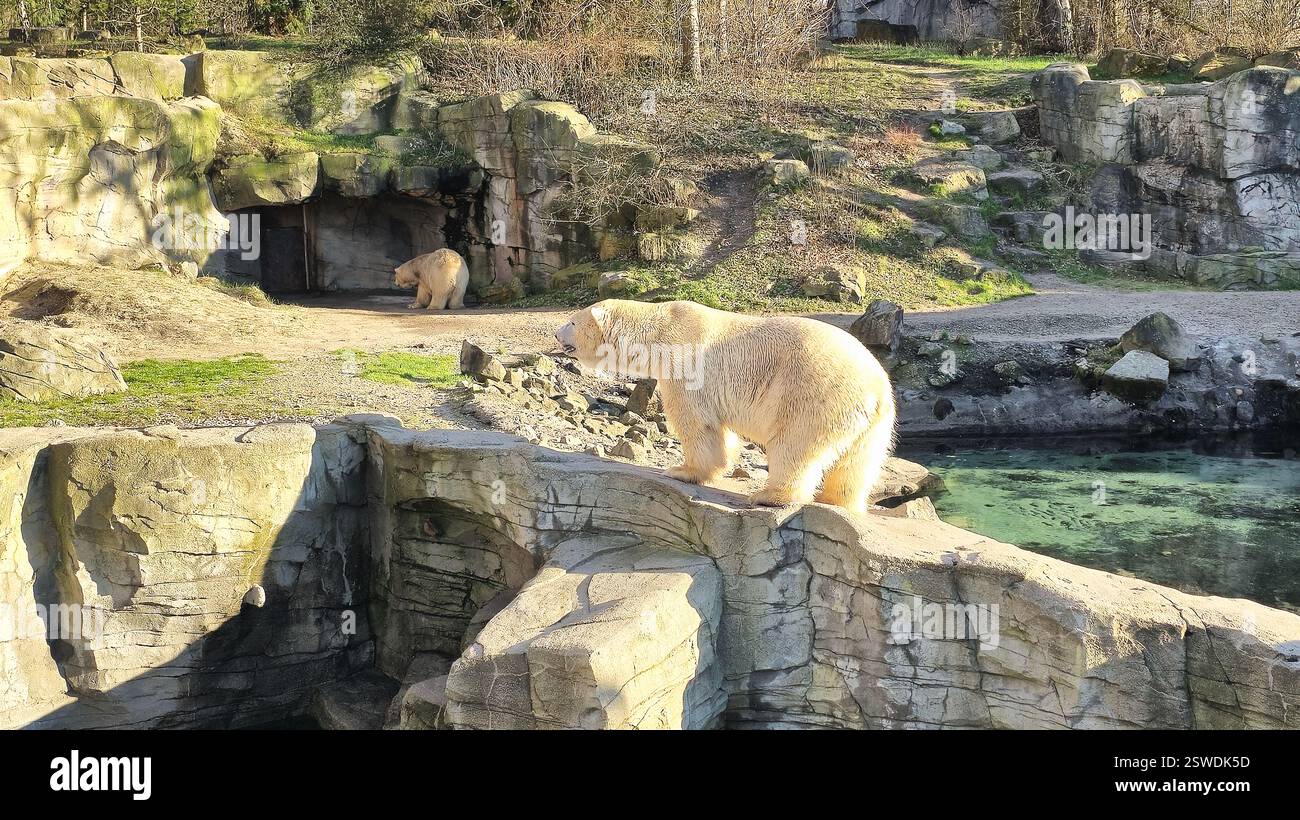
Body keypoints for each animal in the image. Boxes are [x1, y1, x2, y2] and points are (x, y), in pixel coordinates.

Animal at [555, 299, 896, 516]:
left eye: (572, 321)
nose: (557, 334)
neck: (657, 333)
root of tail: (876, 389)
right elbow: (722, 428)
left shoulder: (684, 364)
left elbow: (696, 423)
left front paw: (682, 471)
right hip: (875, 424)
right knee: (858, 463)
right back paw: (836, 500)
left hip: (812, 394)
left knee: (795, 445)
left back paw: (771, 496)